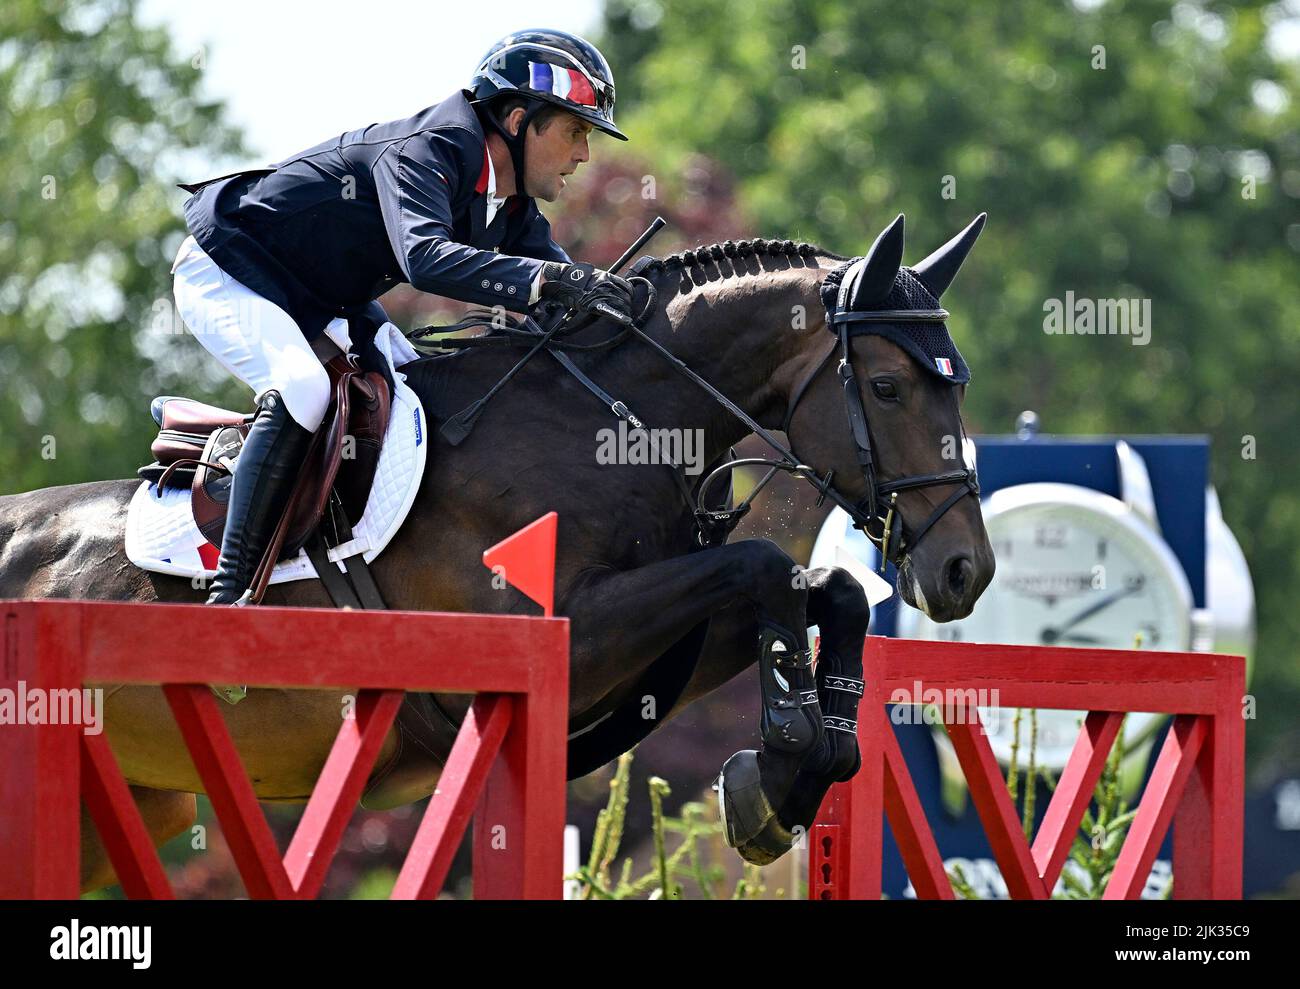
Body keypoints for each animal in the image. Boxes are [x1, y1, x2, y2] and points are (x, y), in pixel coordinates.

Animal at [0, 213, 995, 892]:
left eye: (959, 386)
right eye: (888, 386)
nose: (966, 571)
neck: (607, 424)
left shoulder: (657, 647)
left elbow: (826, 590)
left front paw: (793, 772)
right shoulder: (572, 629)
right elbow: (760, 570)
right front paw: (783, 750)